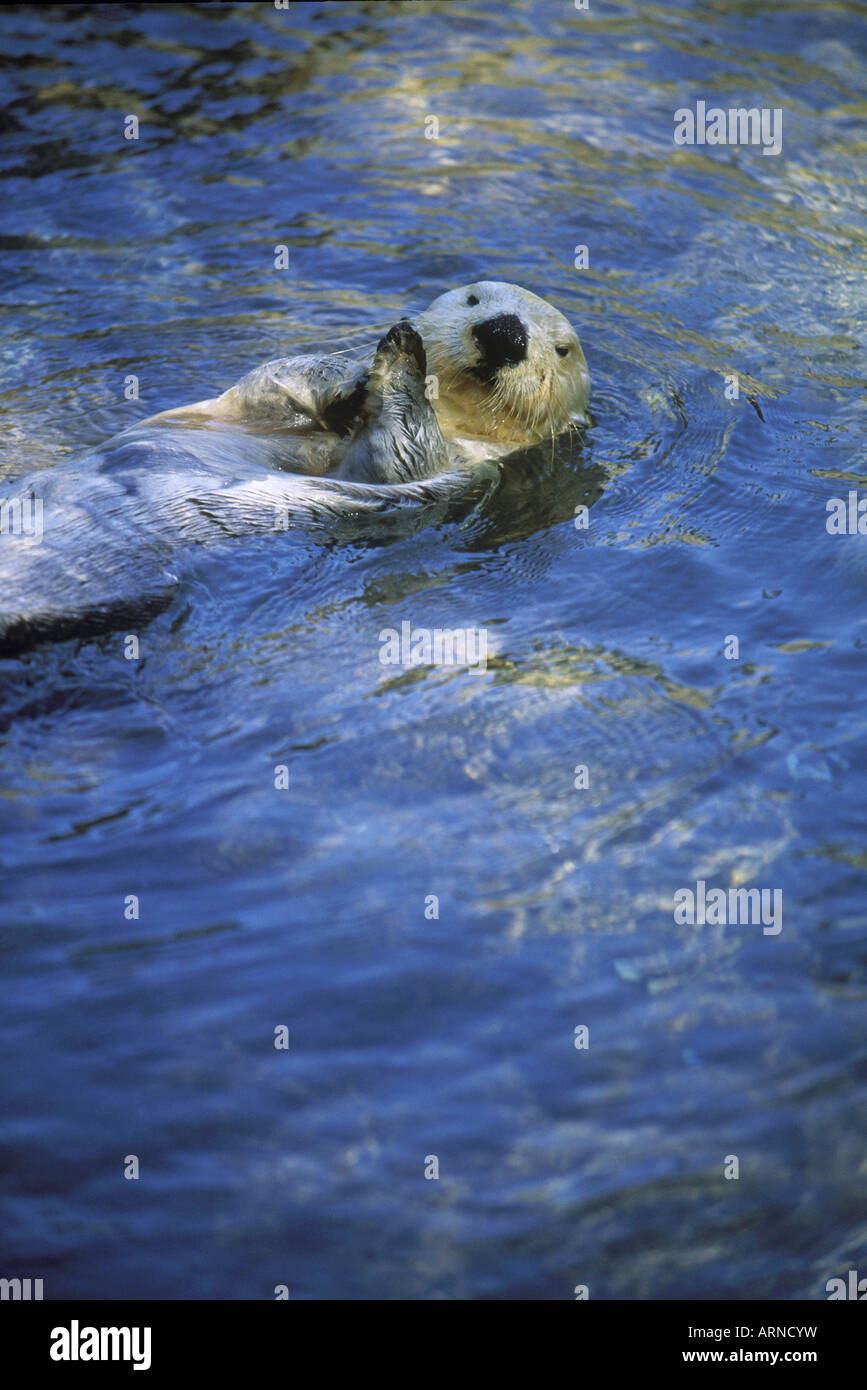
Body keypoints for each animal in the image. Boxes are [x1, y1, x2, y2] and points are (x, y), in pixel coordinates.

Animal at [0, 283, 589, 655]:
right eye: (473, 297)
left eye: (562, 349)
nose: (505, 332)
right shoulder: (250, 404)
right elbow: (280, 377)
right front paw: (357, 379)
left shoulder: (459, 468)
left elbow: (398, 452)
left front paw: (400, 360)